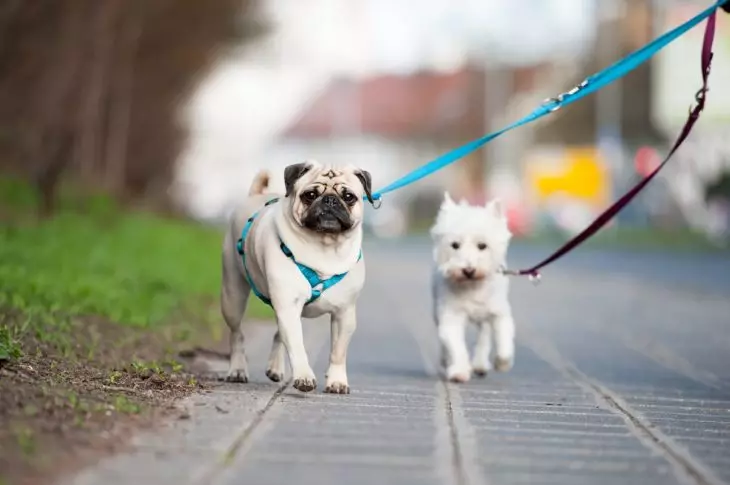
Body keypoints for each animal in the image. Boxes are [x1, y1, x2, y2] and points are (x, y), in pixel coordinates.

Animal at [430, 193, 516, 382]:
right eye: (455, 245)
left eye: (482, 245)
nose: (468, 270)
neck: (472, 286)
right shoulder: (451, 314)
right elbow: (455, 344)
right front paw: (459, 371)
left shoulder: (499, 312)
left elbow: (504, 338)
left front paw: (502, 363)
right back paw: (447, 360)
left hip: (484, 318)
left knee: (484, 335)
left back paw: (481, 364)